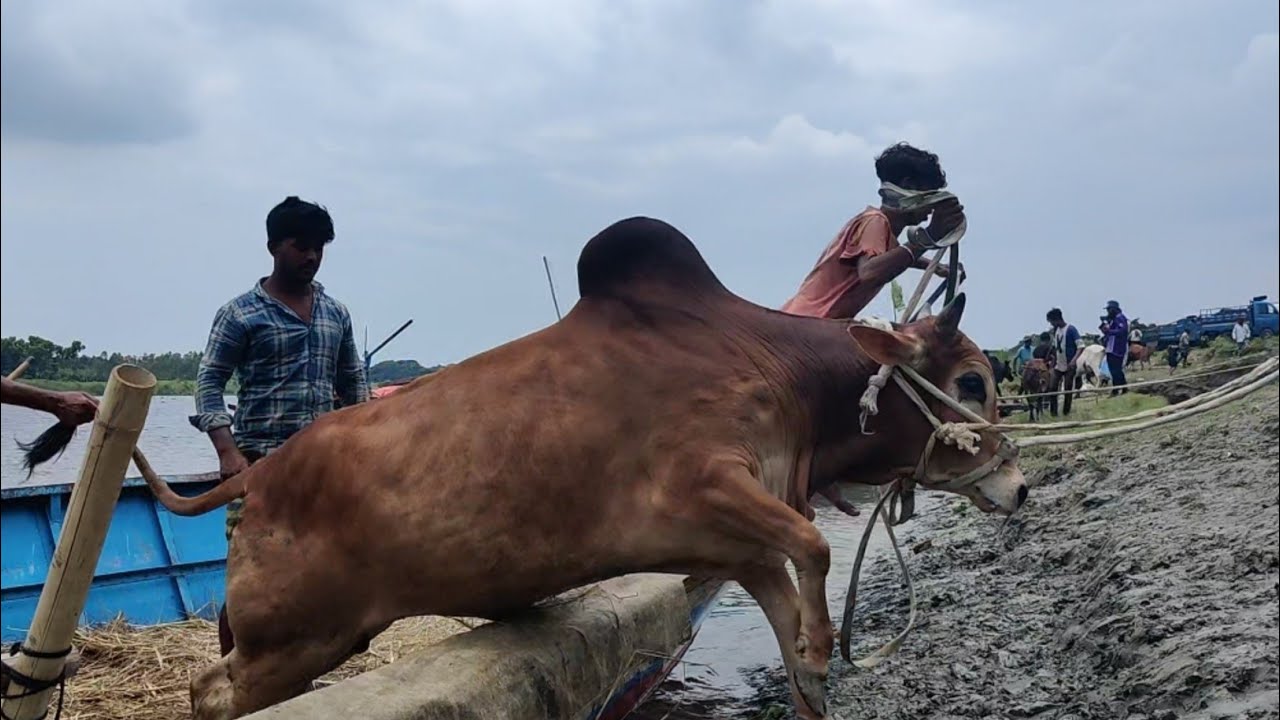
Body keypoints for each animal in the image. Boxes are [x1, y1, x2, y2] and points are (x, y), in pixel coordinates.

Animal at [131, 217, 1026, 720]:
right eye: (971, 381)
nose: (1018, 485)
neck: (784, 370)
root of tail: (257, 476)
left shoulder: (740, 544)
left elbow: (796, 639)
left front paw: (813, 658)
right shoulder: (705, 484)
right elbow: (814, 547)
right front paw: (821, 640)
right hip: (290, 639)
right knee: (209, 691)